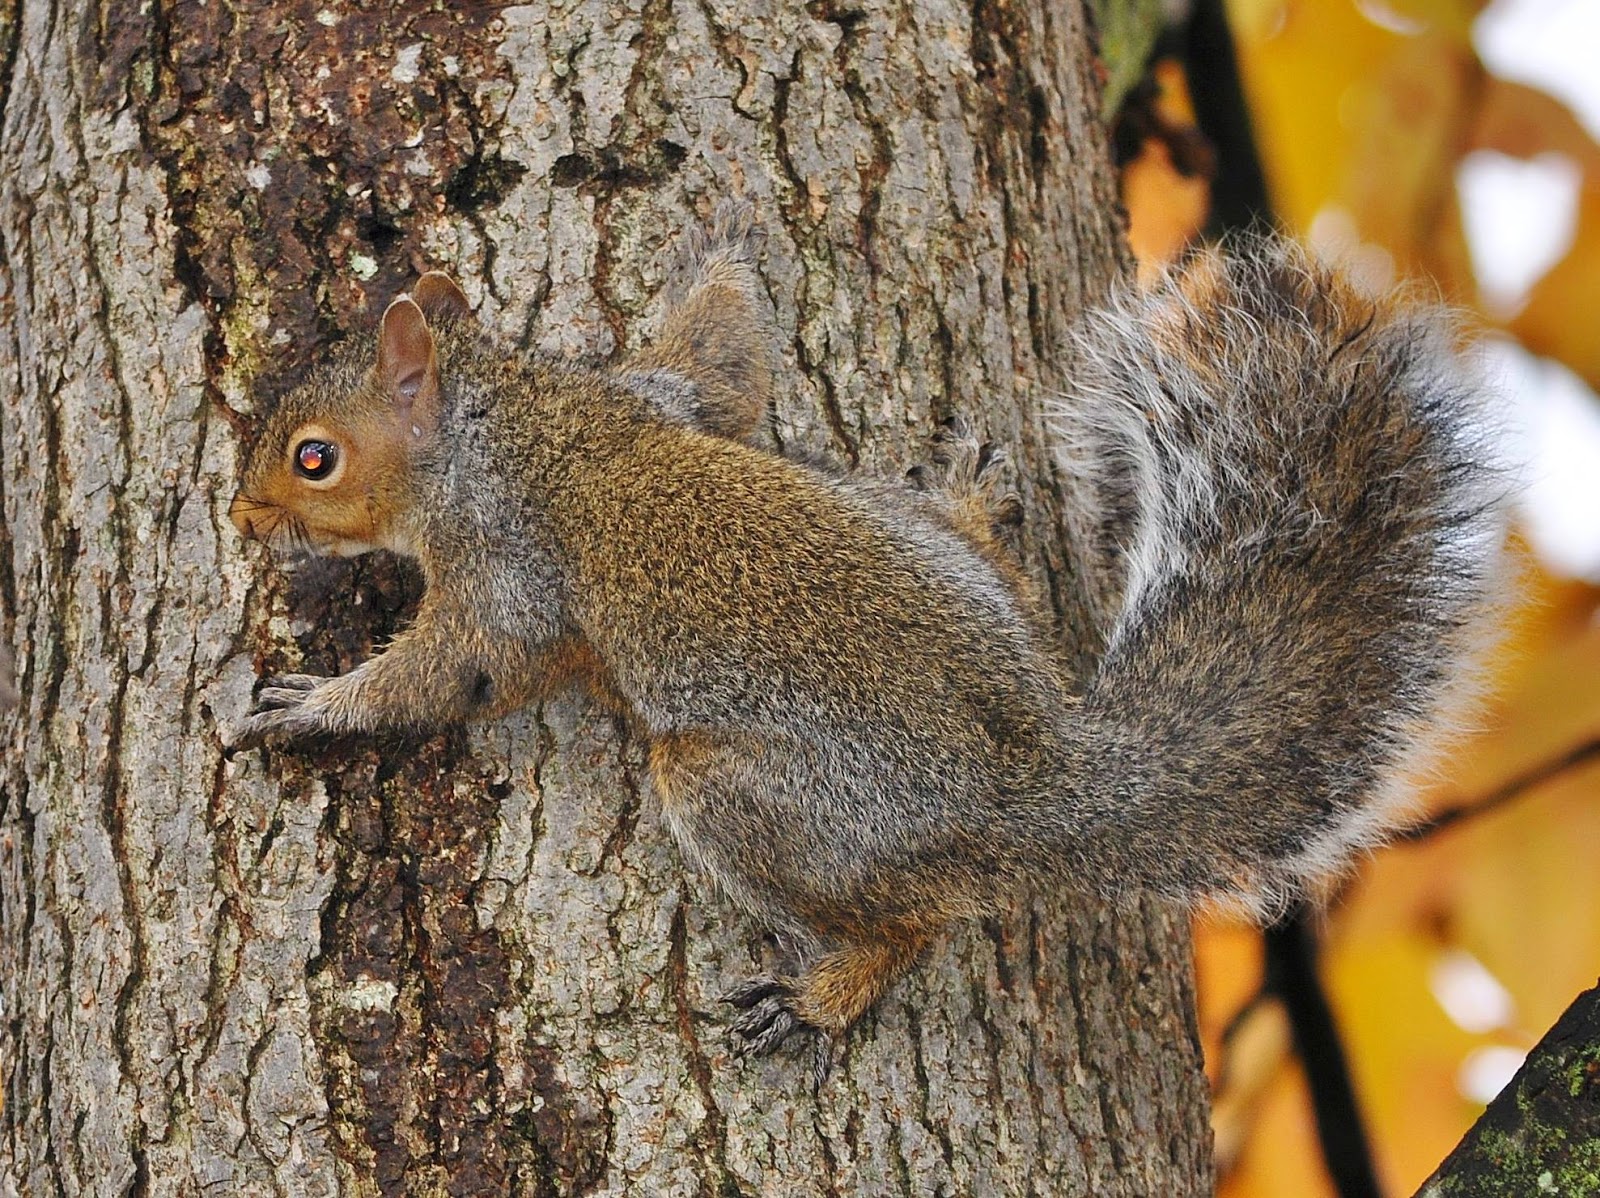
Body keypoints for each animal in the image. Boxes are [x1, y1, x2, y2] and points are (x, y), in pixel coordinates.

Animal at [228, 204, 1505, 1083]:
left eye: (312, 457)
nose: (241, 517)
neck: (506, 422)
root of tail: (1028, 779)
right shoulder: (664, 398)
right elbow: (722, 372)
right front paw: (718, 246)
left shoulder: (508, 570)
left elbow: (459, 670)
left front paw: (312, 708)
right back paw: (970, 503)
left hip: (760, 797)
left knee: (910, 925)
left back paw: (826, 992)